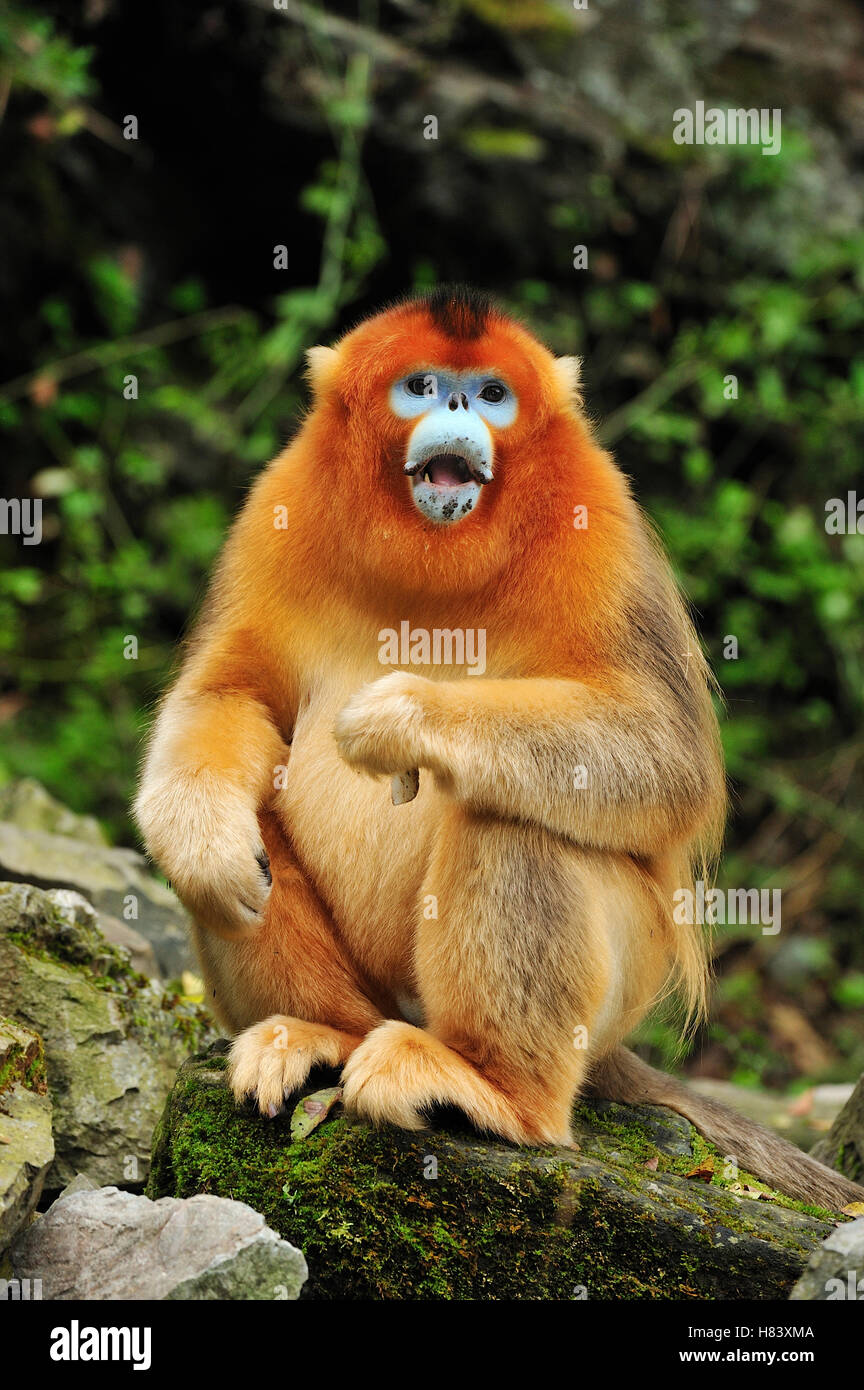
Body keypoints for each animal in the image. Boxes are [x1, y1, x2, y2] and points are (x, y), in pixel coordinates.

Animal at [135, 285, 864, 1212]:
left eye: (490, 394)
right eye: (422, 385)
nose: (454, 410)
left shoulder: (603, 523)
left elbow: (668, 757)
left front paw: (407, 716)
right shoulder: (276, 505)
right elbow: (231, 695)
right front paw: (203, 842)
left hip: (623, 984)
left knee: (511, 810)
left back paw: (495, 1090)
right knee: (251, 825)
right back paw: (321, 1031)